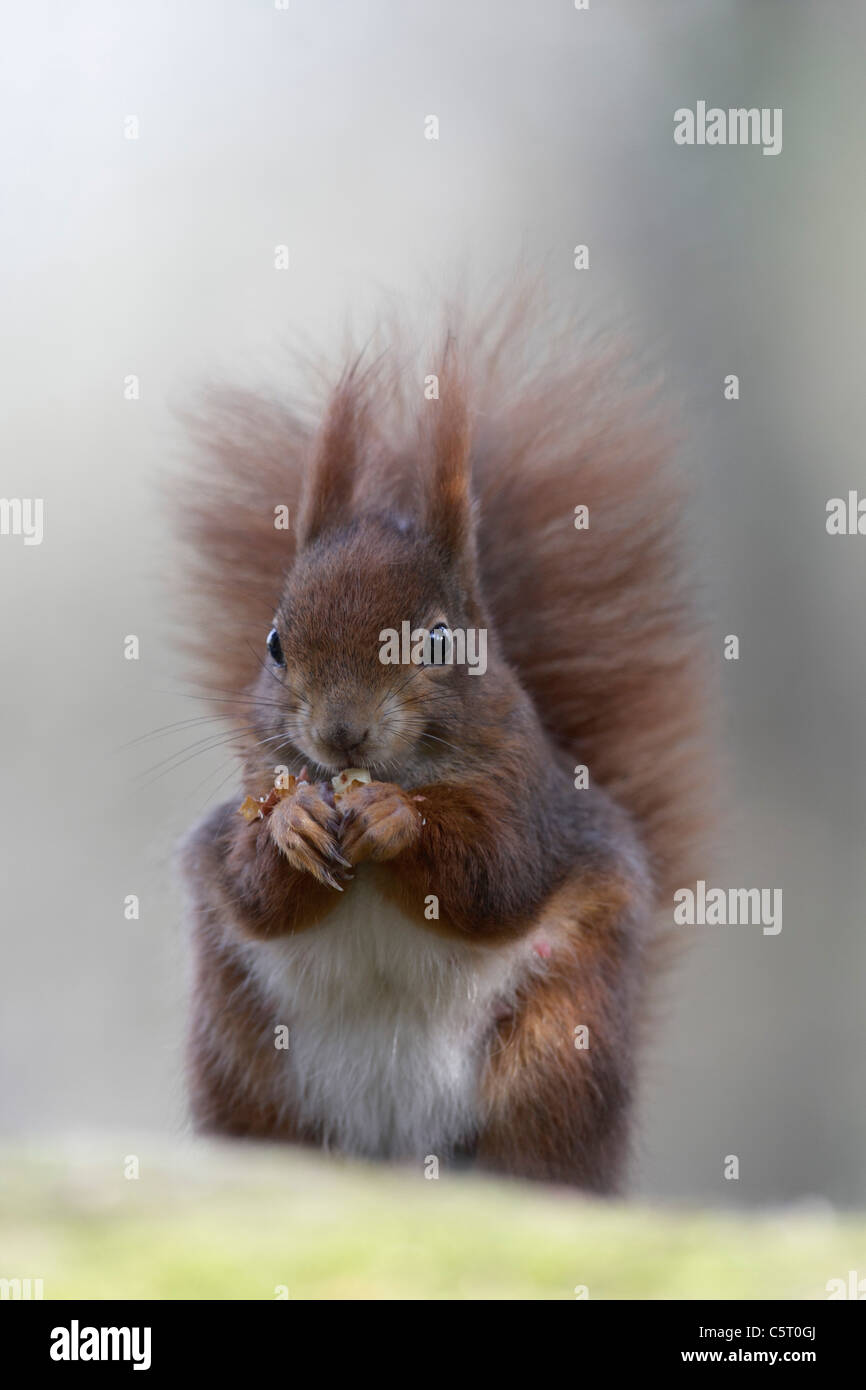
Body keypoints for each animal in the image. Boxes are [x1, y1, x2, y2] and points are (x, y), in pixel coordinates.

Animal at [175, 306, 711, 1193]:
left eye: (435, 640)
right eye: (275, 643)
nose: (340, 733)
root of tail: (399, 1155)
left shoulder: (527, 798)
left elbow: (495, 876)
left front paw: (398, 818)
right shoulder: (250, 789)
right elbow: (251, 887)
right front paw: (291, 827)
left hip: (555, 1055)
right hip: (247, 1058)